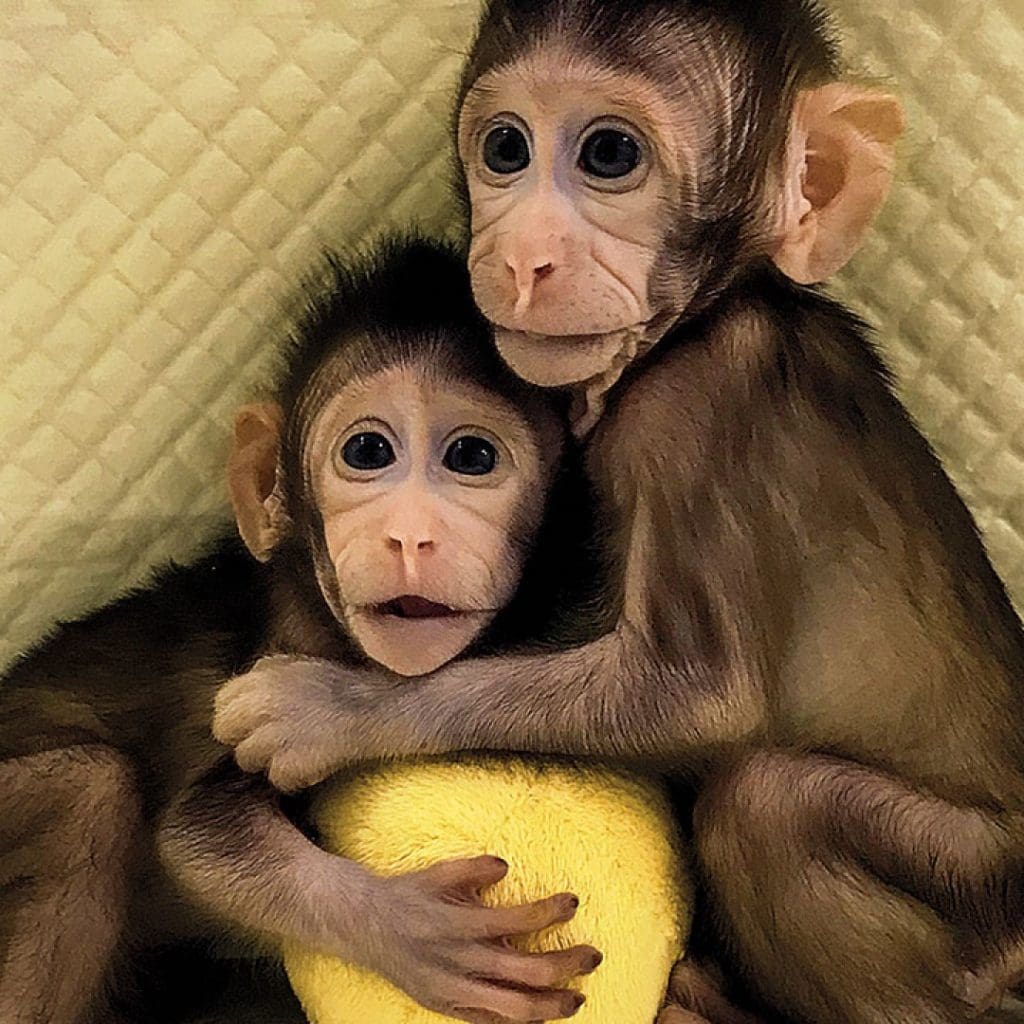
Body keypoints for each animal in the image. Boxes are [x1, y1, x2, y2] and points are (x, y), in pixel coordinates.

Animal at [0, 237, 604, 1024]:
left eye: (472, 457)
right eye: (368, 453)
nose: (410, 536)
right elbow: (199, 834)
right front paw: (407, 929)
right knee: (88, 791)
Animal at [208, 3, 1024, 1024]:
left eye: (609, 155)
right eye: (505, 149)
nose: (522, 257)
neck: (702, 317)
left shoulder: (696, 405)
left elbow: (699, 692)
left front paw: (326, 711)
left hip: (978, 890)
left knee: (766, 804)